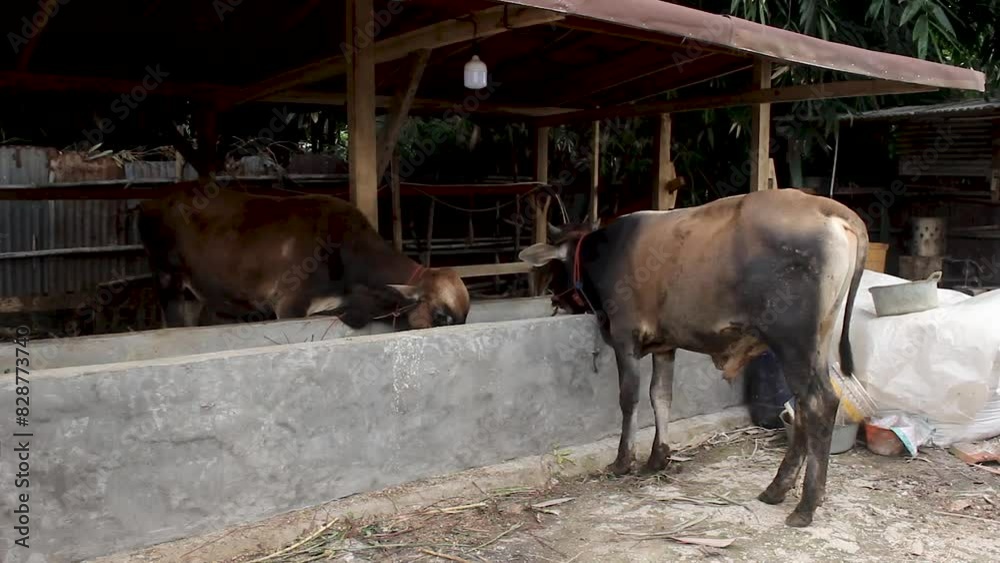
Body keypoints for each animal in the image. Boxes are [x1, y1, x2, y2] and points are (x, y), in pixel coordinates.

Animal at [517, 188, 868, 528]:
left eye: (555, 267)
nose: (555, 300)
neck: (605, 253)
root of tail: (824, 206)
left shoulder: (624, 337)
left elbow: (629, 398)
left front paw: (622, 461)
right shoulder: (664, 346)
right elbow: (660, 397)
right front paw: (657, 458)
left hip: (792, 341)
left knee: (819, 404)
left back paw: (805, 504)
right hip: (818, 340)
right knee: (805, 406)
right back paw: (777, 489)